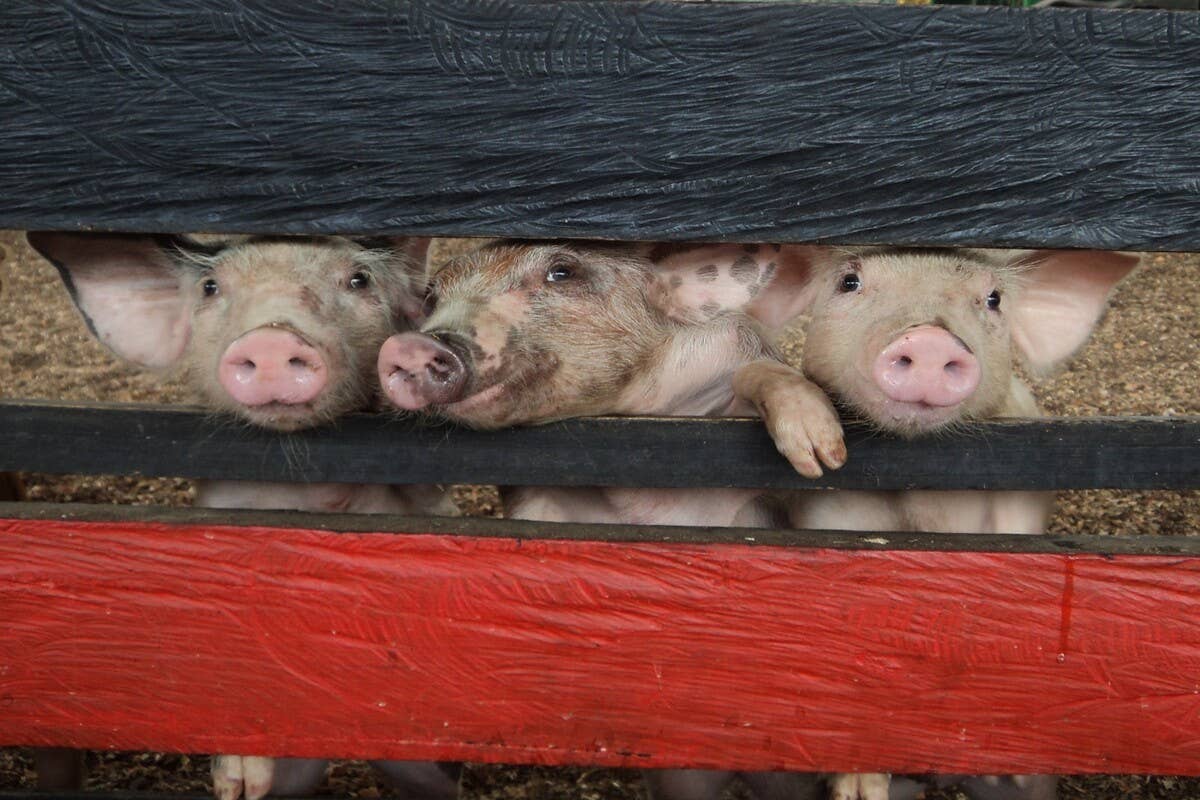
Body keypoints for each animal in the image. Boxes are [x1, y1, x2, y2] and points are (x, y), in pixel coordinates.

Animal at [731, 246, 1138, 800]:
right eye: (849, 282)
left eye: (993, 298)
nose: (928, 339)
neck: (918, 500)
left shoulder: (1023, 500)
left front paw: (1003, 764)